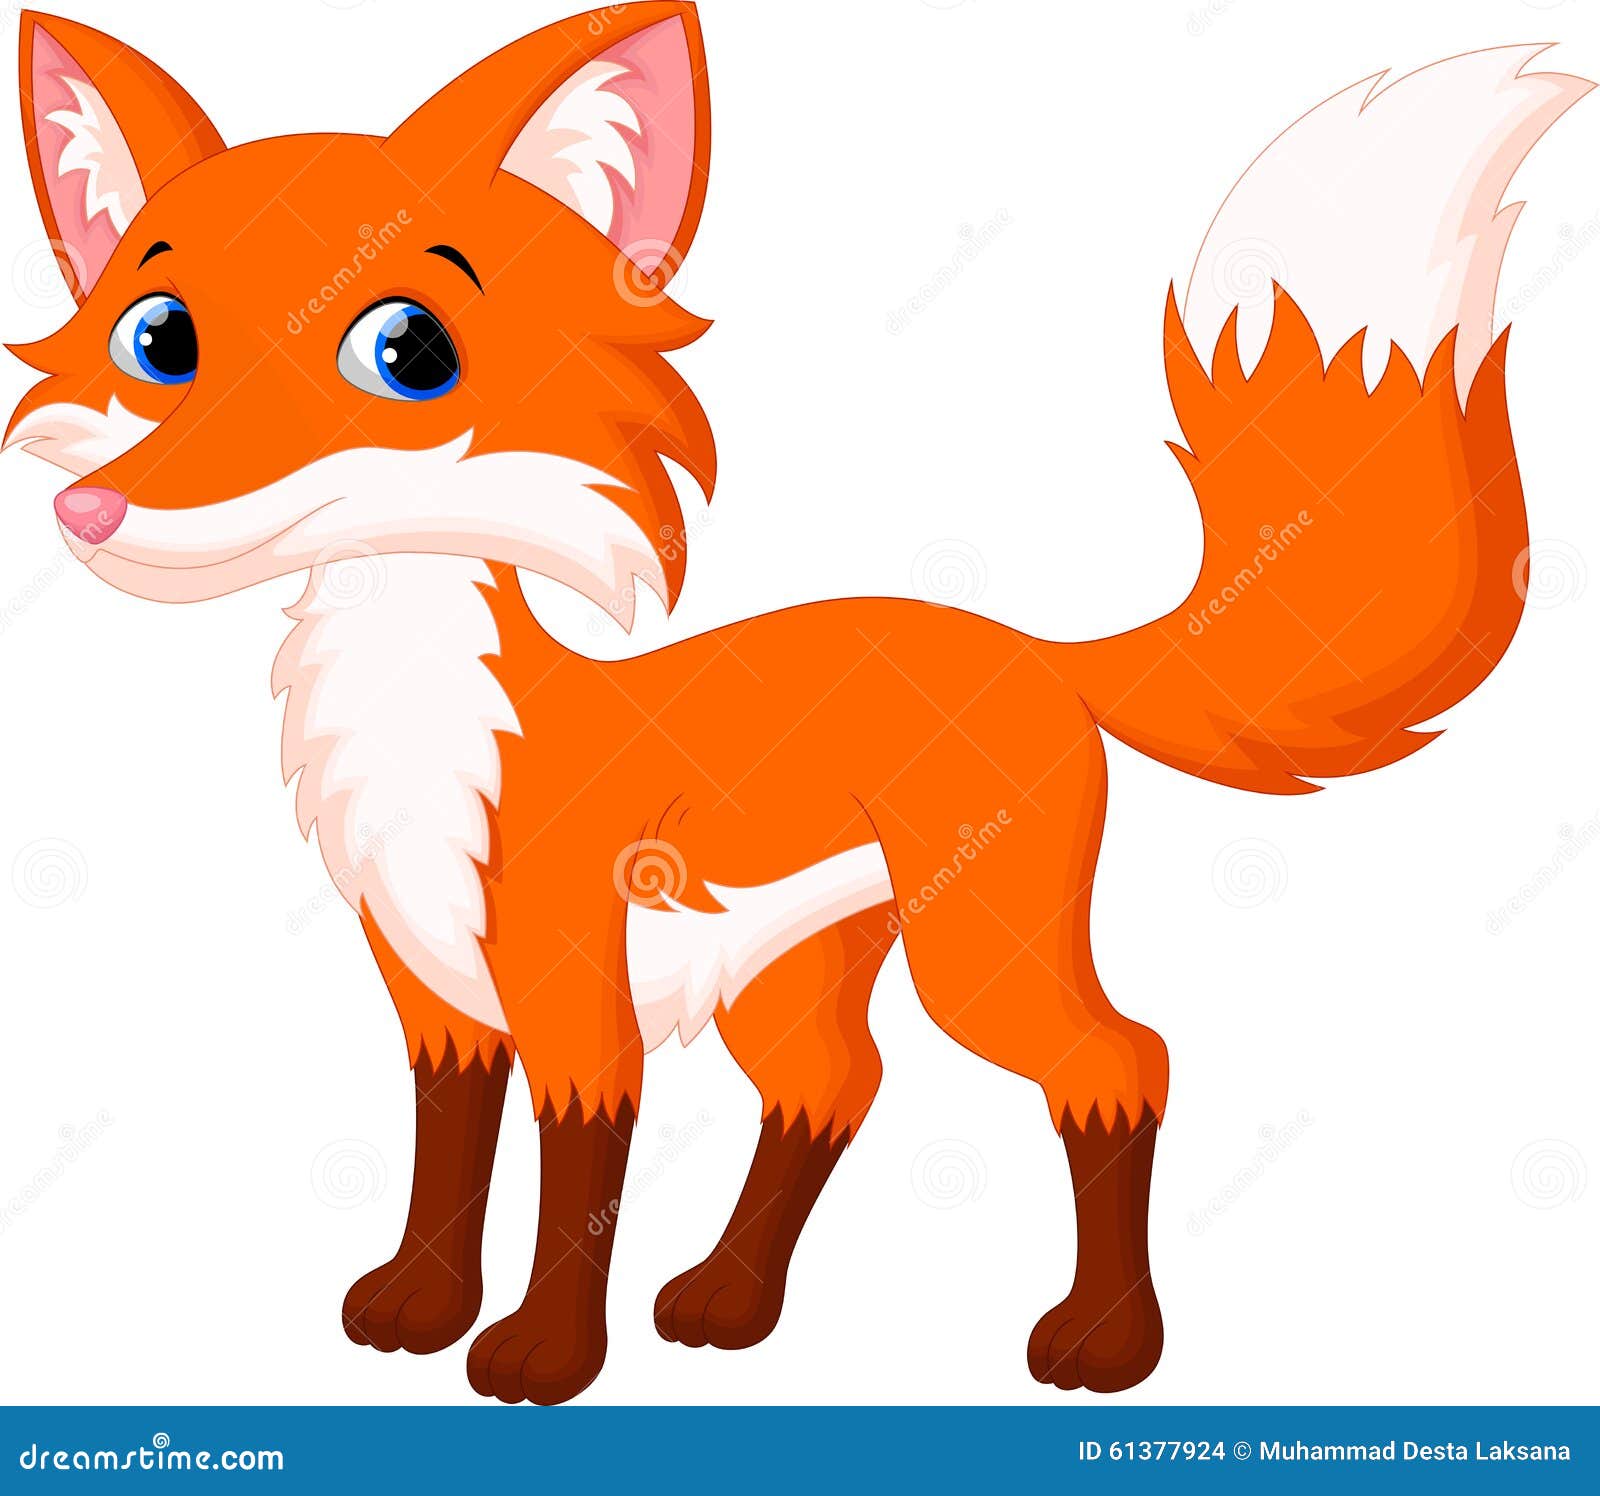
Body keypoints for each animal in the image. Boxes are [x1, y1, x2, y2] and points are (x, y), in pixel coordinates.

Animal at [4, 3, 1588, 1404]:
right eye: (157, 338)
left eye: (407, 353)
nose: (94, 510)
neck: (425, 725)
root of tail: (1025, 644)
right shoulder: (437, 990)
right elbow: (447, 1161)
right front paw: (420, 1310)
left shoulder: (575, 993)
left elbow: (575, 1183)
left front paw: (542, 1360)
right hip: (793, 962)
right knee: (836, 1084)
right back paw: (730, 1301)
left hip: (979, 952)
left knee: (1119, 1063)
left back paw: (1104, 1344)